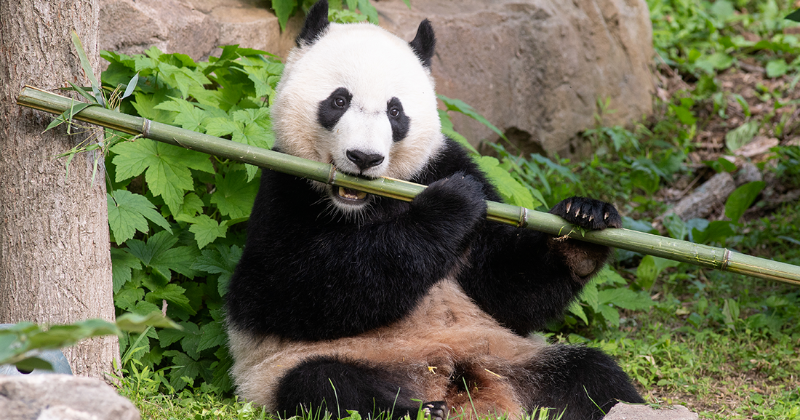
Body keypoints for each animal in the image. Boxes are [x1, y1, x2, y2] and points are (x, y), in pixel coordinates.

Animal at [224, 1, 644, 419]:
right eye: (338, 101)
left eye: (395, 112)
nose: (364, 157)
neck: (366, 204)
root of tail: (458, 385)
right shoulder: (283, 187)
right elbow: (284, 290)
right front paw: (451, 206)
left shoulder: (443, 162)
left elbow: (505, 291)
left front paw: (585, 221)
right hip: (302, 368)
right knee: (325, 385)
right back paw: (418, 409)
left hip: (513, 357)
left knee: (592, 375)